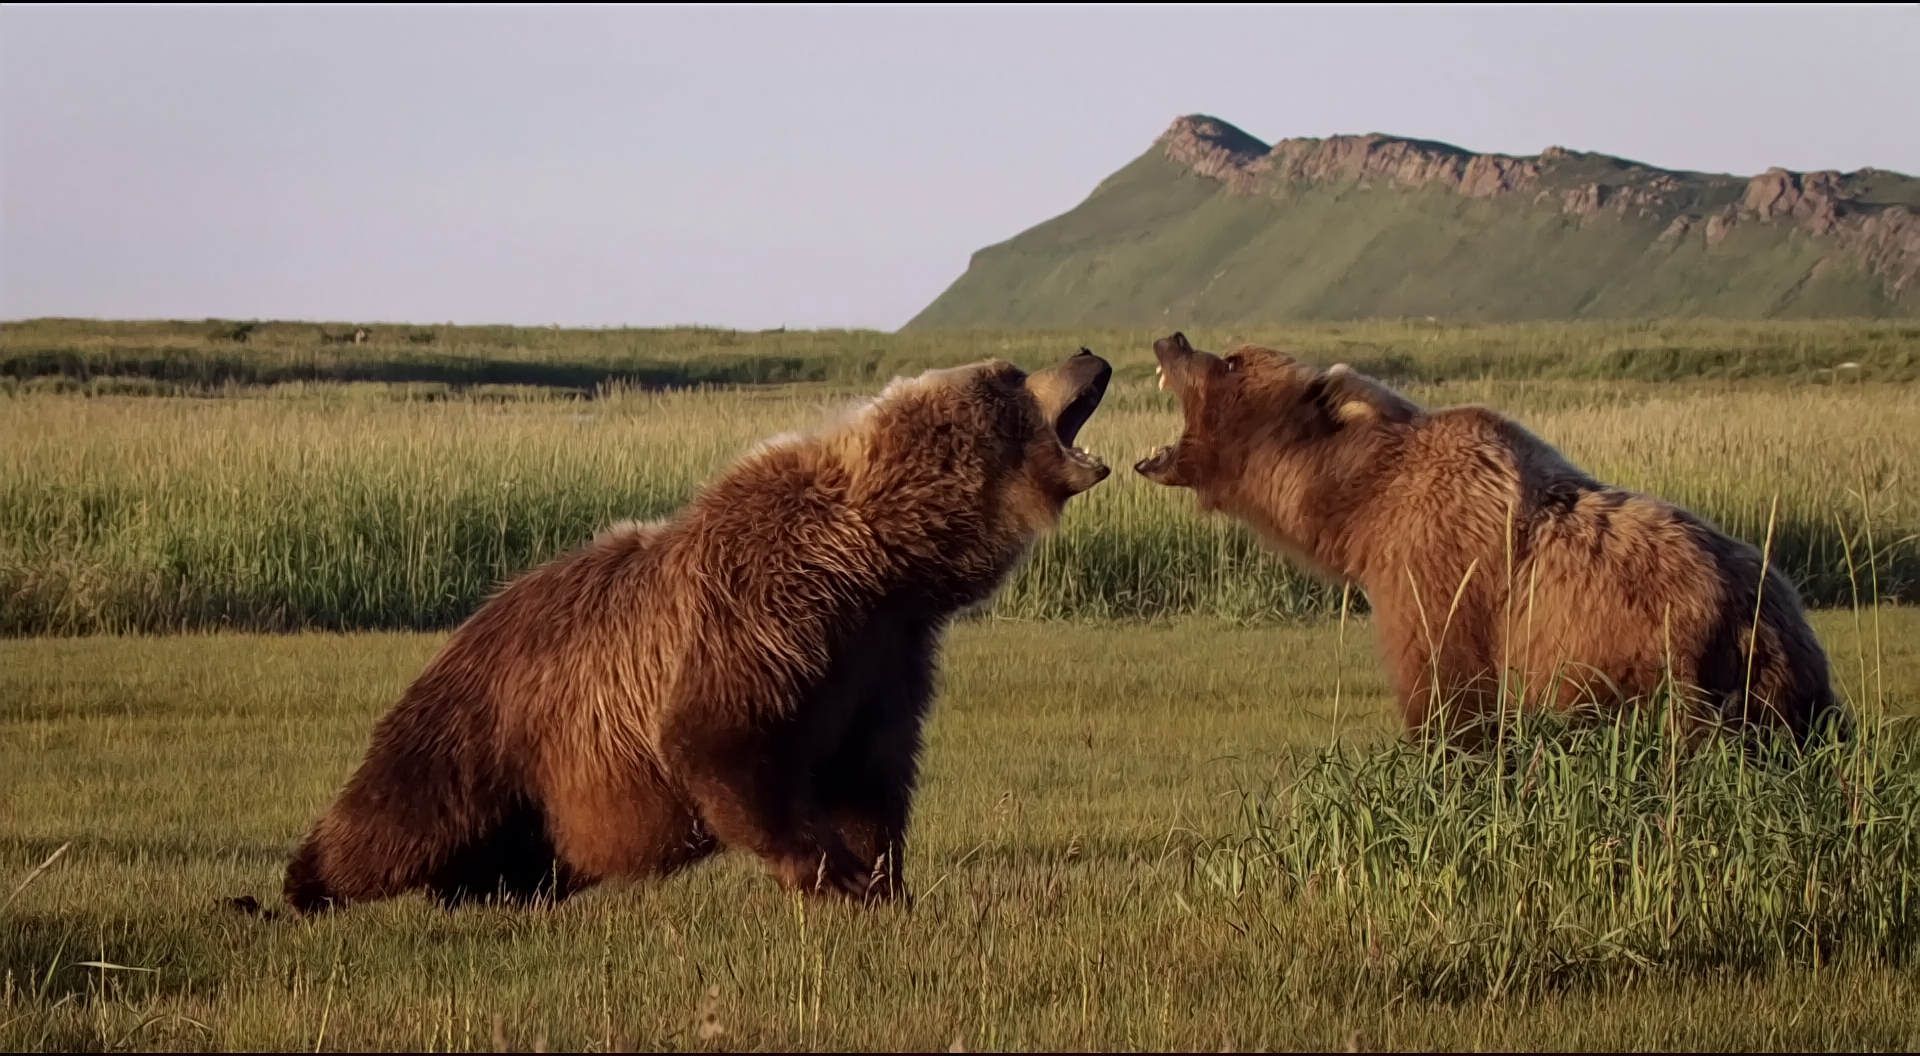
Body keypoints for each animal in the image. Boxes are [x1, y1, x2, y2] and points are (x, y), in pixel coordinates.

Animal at [285, 349, 1113, 911]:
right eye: (1009, 374)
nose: (1089, 355)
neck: (880, 558)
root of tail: (474, 617)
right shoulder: (768, 607)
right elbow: (720, 737)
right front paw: (834, 872)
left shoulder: (884, 652)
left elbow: (871, 772)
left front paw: (881, 880)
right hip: (485, 724)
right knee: (401, 813)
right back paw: (302, 882)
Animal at [1134, 332, 1839, 741]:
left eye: (1230, 360)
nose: (1172, 336)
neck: (1362, 510)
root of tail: (1768, 620)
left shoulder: (1440, 576)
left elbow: (1447, 695)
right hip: (1769, 687)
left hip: (1661, 665)